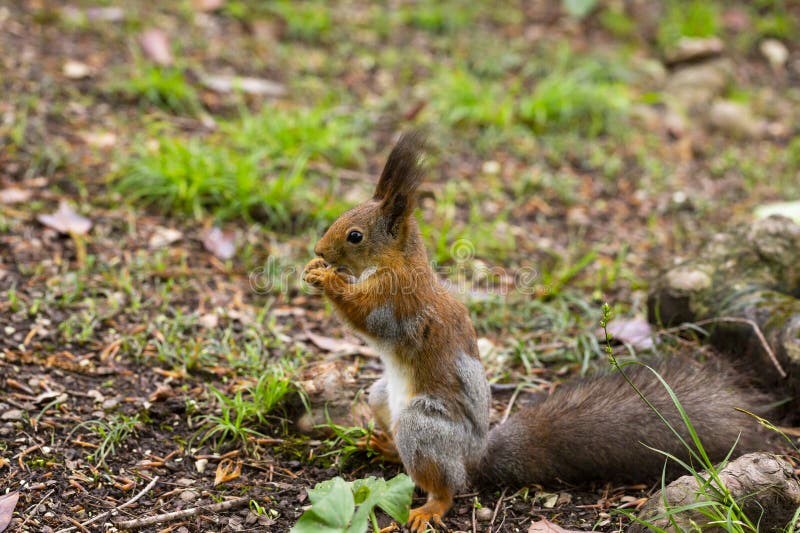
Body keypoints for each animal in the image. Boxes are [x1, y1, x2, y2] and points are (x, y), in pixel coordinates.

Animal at [302, 132, 767, 532]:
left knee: (447, 485)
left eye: (355, 235)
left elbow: (366, 318)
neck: (394, 263)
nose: (318, 249)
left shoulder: (397, 304)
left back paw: (430, 506)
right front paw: (315, 268)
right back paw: (381, 444)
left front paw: (327, 279)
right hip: (382, 396)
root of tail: (476, 455)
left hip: (425, 427)